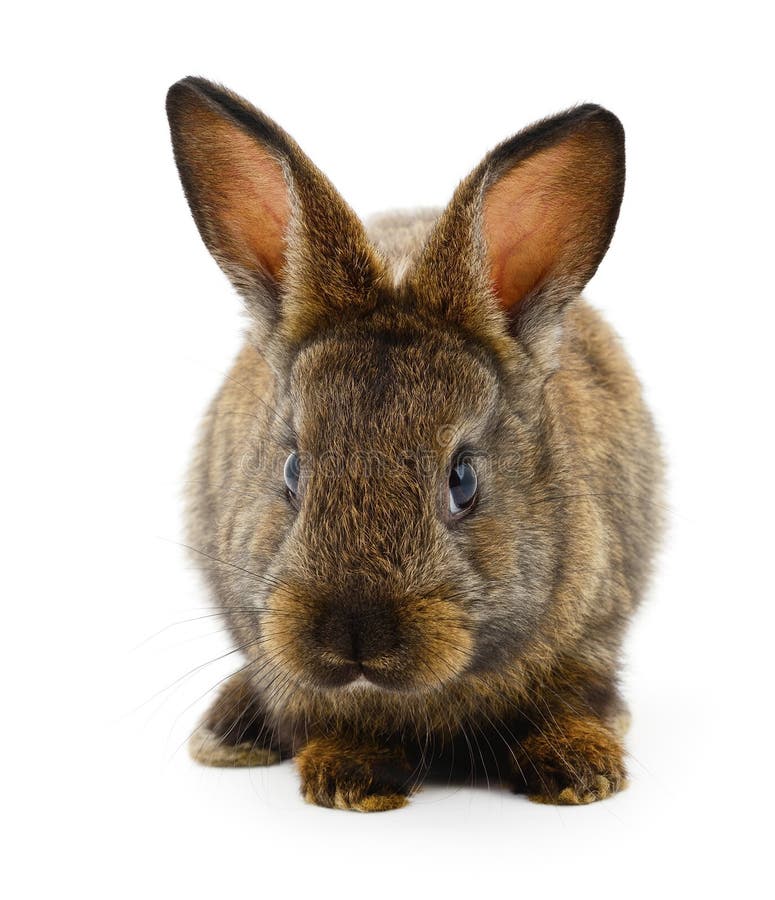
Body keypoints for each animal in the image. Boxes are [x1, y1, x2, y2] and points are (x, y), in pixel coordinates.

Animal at [166, 76, 663, 812]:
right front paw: (352, 777)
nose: (355, 634)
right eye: (291, 470)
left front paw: (580, 773)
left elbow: (570, 705)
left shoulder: (592, 637)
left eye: (463, 481)